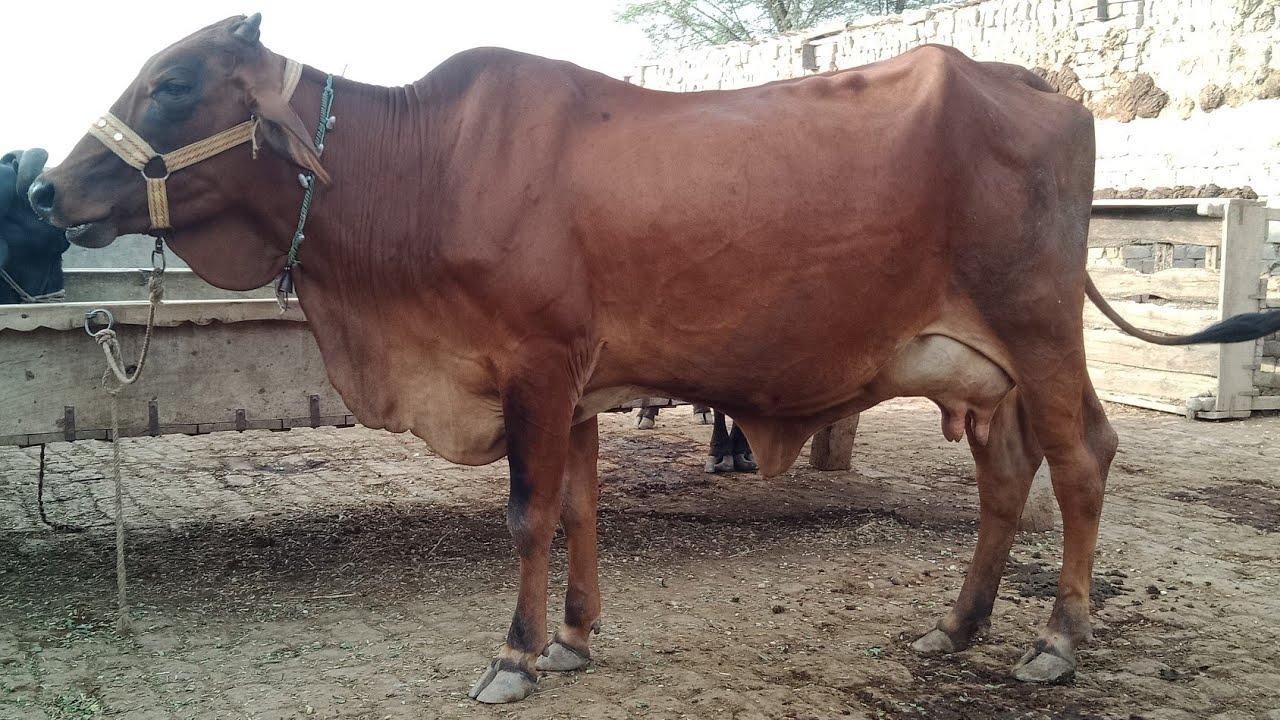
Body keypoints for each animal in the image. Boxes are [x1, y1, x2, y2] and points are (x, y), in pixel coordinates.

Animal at [30, 14, 1280, 703]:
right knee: (1005, 475)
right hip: (977, 369)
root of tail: (1035, 87)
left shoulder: (535, 368)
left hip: (1036, 333)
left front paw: (517, 656)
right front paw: (578, 637)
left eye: (172, 83)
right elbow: (581, 508)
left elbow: (528, 515)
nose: (44, 190)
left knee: (1081, 462)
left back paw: (1056, 641)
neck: (415, 170)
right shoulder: (579, 386)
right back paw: (959, 624)